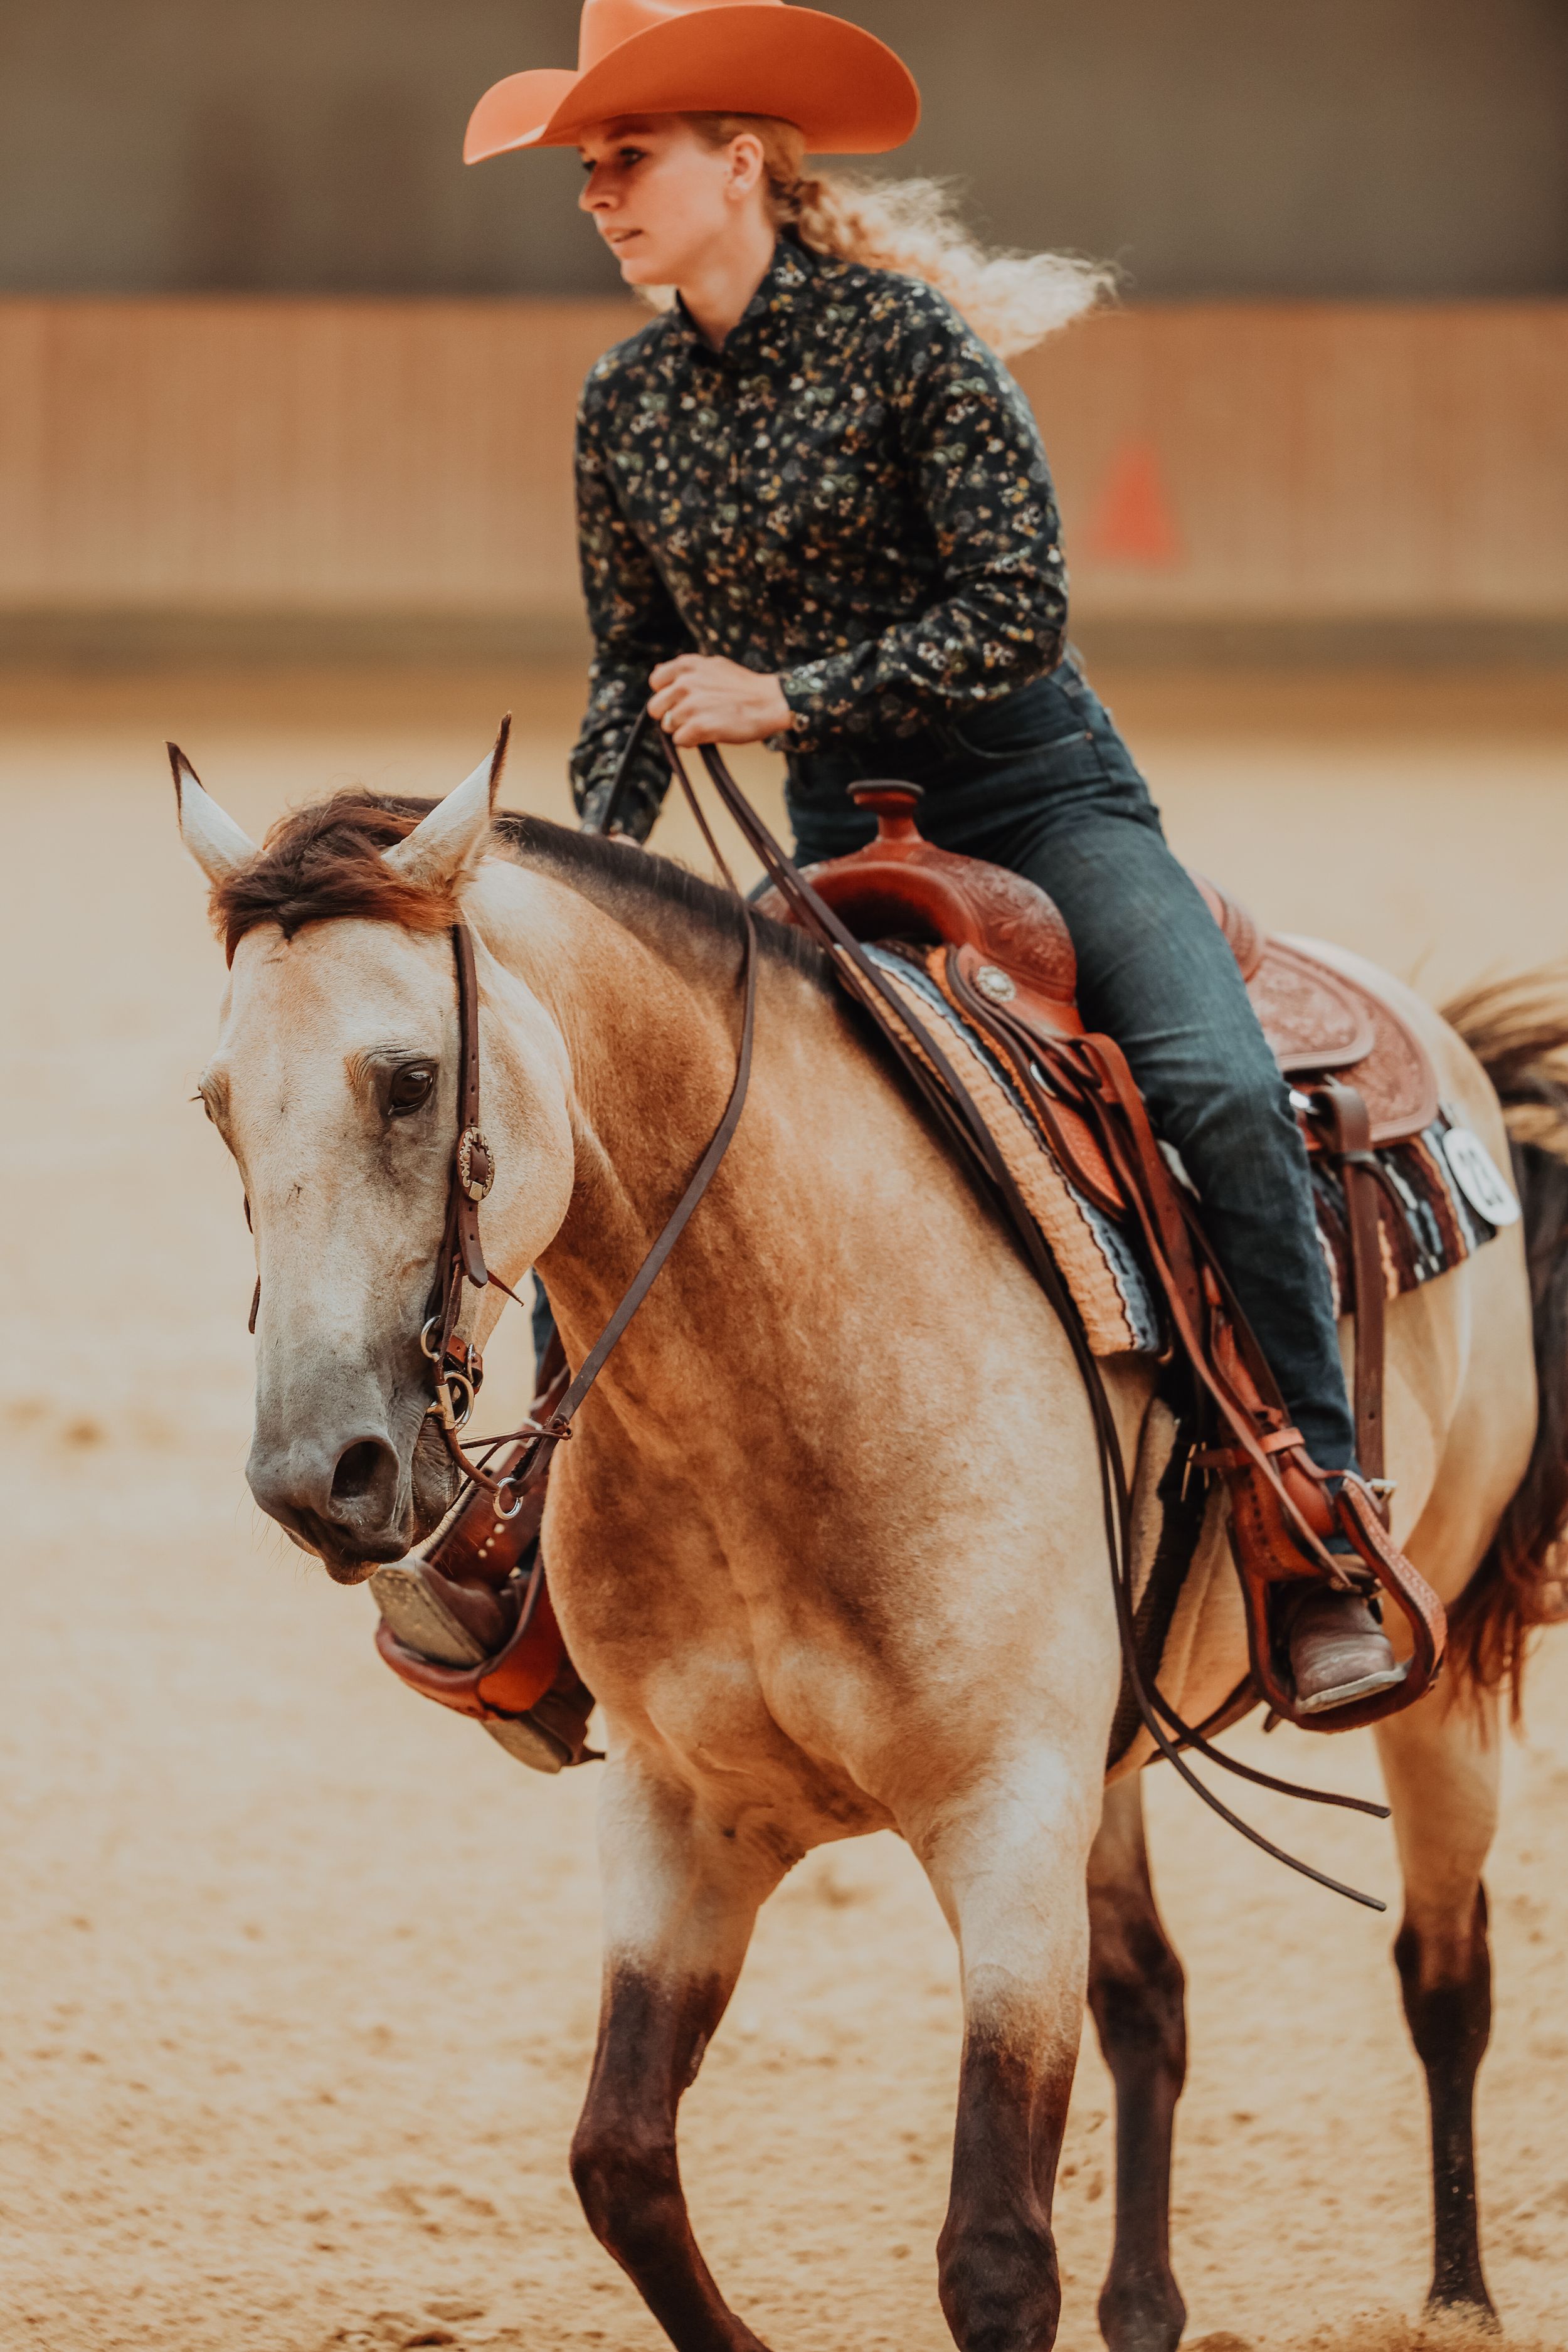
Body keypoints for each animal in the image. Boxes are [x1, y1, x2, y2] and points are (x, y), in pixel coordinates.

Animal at [174, 740, 1567, 2352]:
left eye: (406, 1079)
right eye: (217, 1104)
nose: (315, 1477)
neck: (778, 1364)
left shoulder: (1006, 1816)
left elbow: (994, 2255)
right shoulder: (684, 1812)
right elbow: (620, 2163)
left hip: (1436, 1660)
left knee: (1443, 1973)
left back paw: (1457, 2297)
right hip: (1110, 1747)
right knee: (1150, 1999)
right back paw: (1150, 2306)